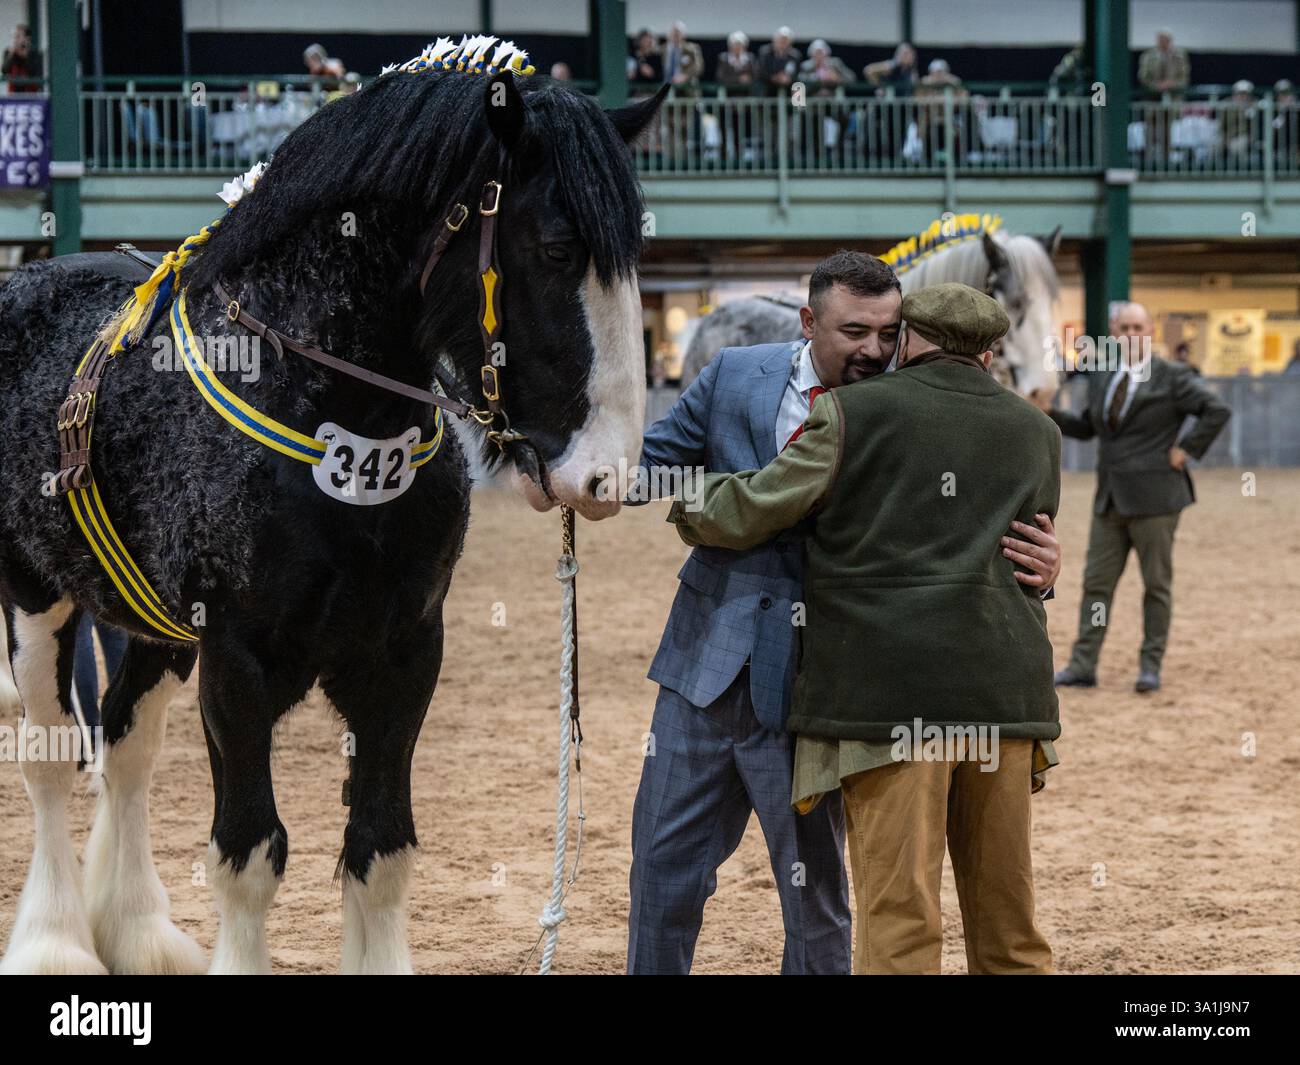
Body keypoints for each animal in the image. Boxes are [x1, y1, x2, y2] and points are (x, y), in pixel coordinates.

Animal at [0, 54, 665, 974]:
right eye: (558, 248)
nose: (606, 472)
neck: (319, 409)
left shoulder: (406, 653)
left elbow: (379, 849)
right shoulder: (237, 660)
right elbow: (249, 853)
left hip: (151, 620)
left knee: (127, 747)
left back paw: (137, 930)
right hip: (36, 593)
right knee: (50, 758)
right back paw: (57, 943)